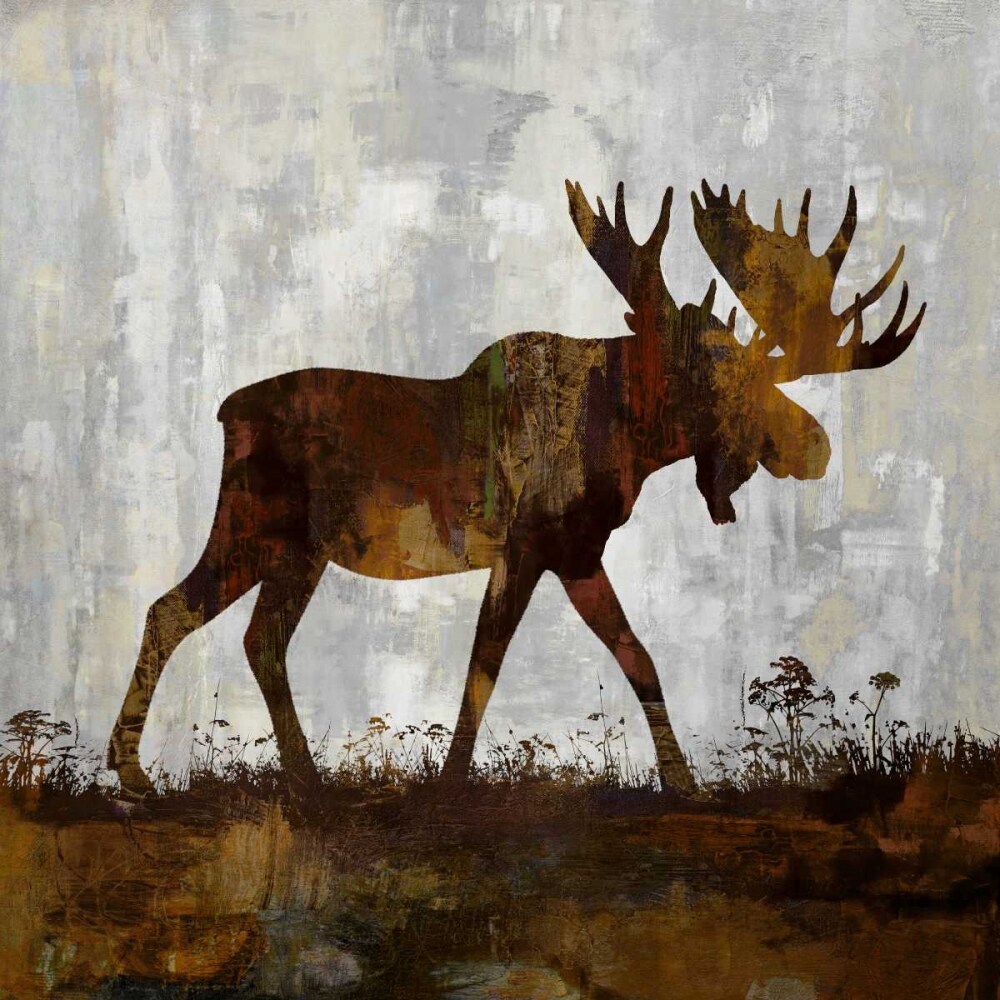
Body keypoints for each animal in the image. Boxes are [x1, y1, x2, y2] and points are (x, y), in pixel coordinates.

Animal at [107, 179, 924, 801]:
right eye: (729, 384)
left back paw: (297, 777)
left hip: (300, 552)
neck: (625, 435)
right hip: (256, 527)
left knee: (254, 637)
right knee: (171, 612)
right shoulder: (530, 544)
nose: (817, 446)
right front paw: (450, 783)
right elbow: (485, 665)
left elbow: (639, 659)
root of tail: (225, 411)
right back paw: (135, 772)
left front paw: (685, 783)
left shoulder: (579, 552)